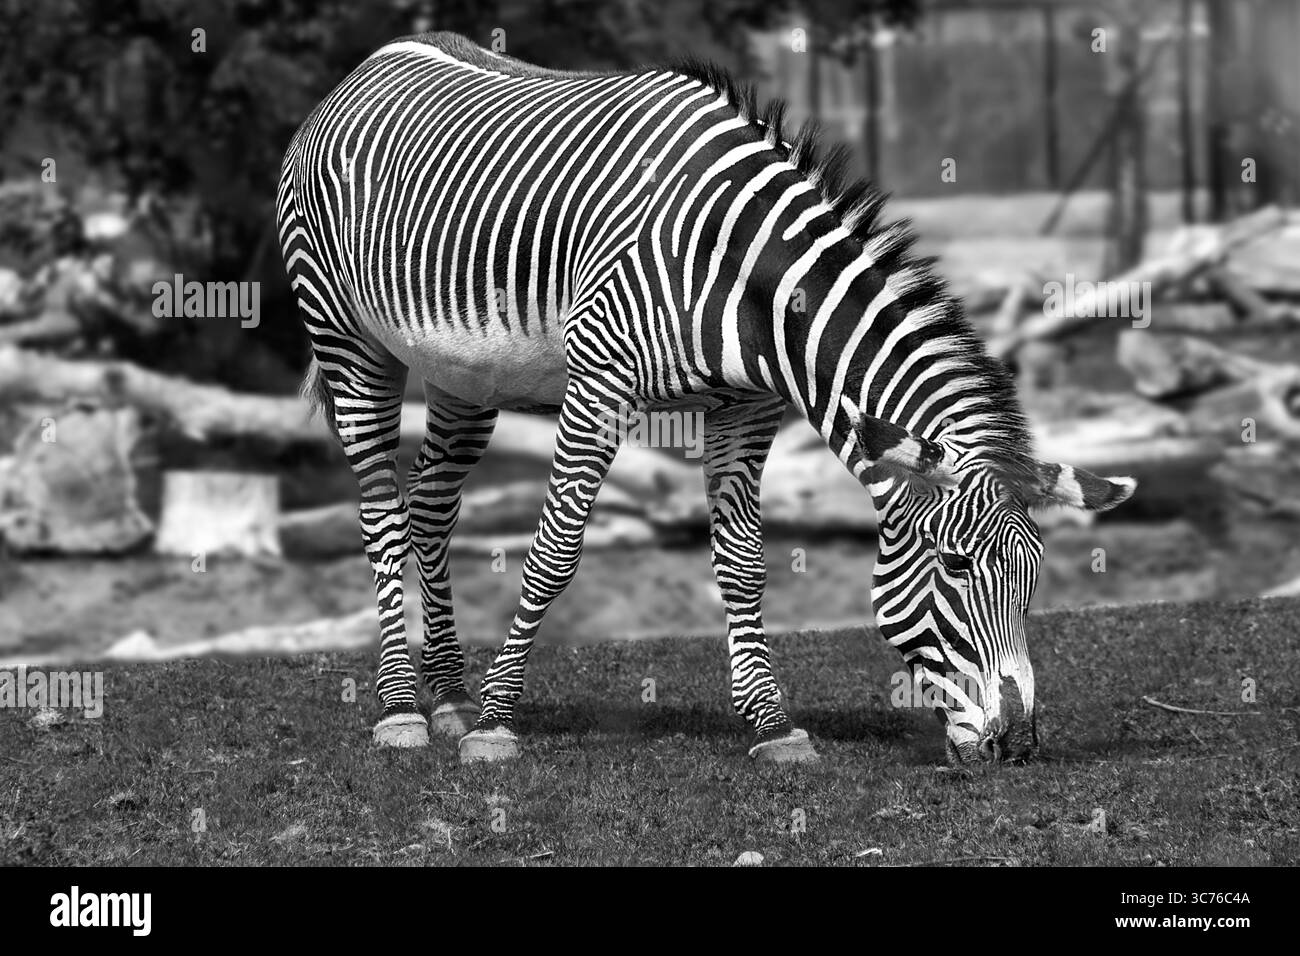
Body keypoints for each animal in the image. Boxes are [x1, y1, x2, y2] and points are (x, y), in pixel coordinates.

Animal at [276, 32, 1135, 765]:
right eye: (956, 567)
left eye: (1034, 574)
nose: (1017, 744)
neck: (746, 274)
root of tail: (373, 60)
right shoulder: (599, 382)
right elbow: (554, 553)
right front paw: (496, 725)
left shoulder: (745, 407)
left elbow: (743, 563)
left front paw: (773, 725)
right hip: (346, 335)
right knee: (381, 513)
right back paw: (403, 709)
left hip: (464, 372)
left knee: (430, 509)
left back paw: (449, 696)